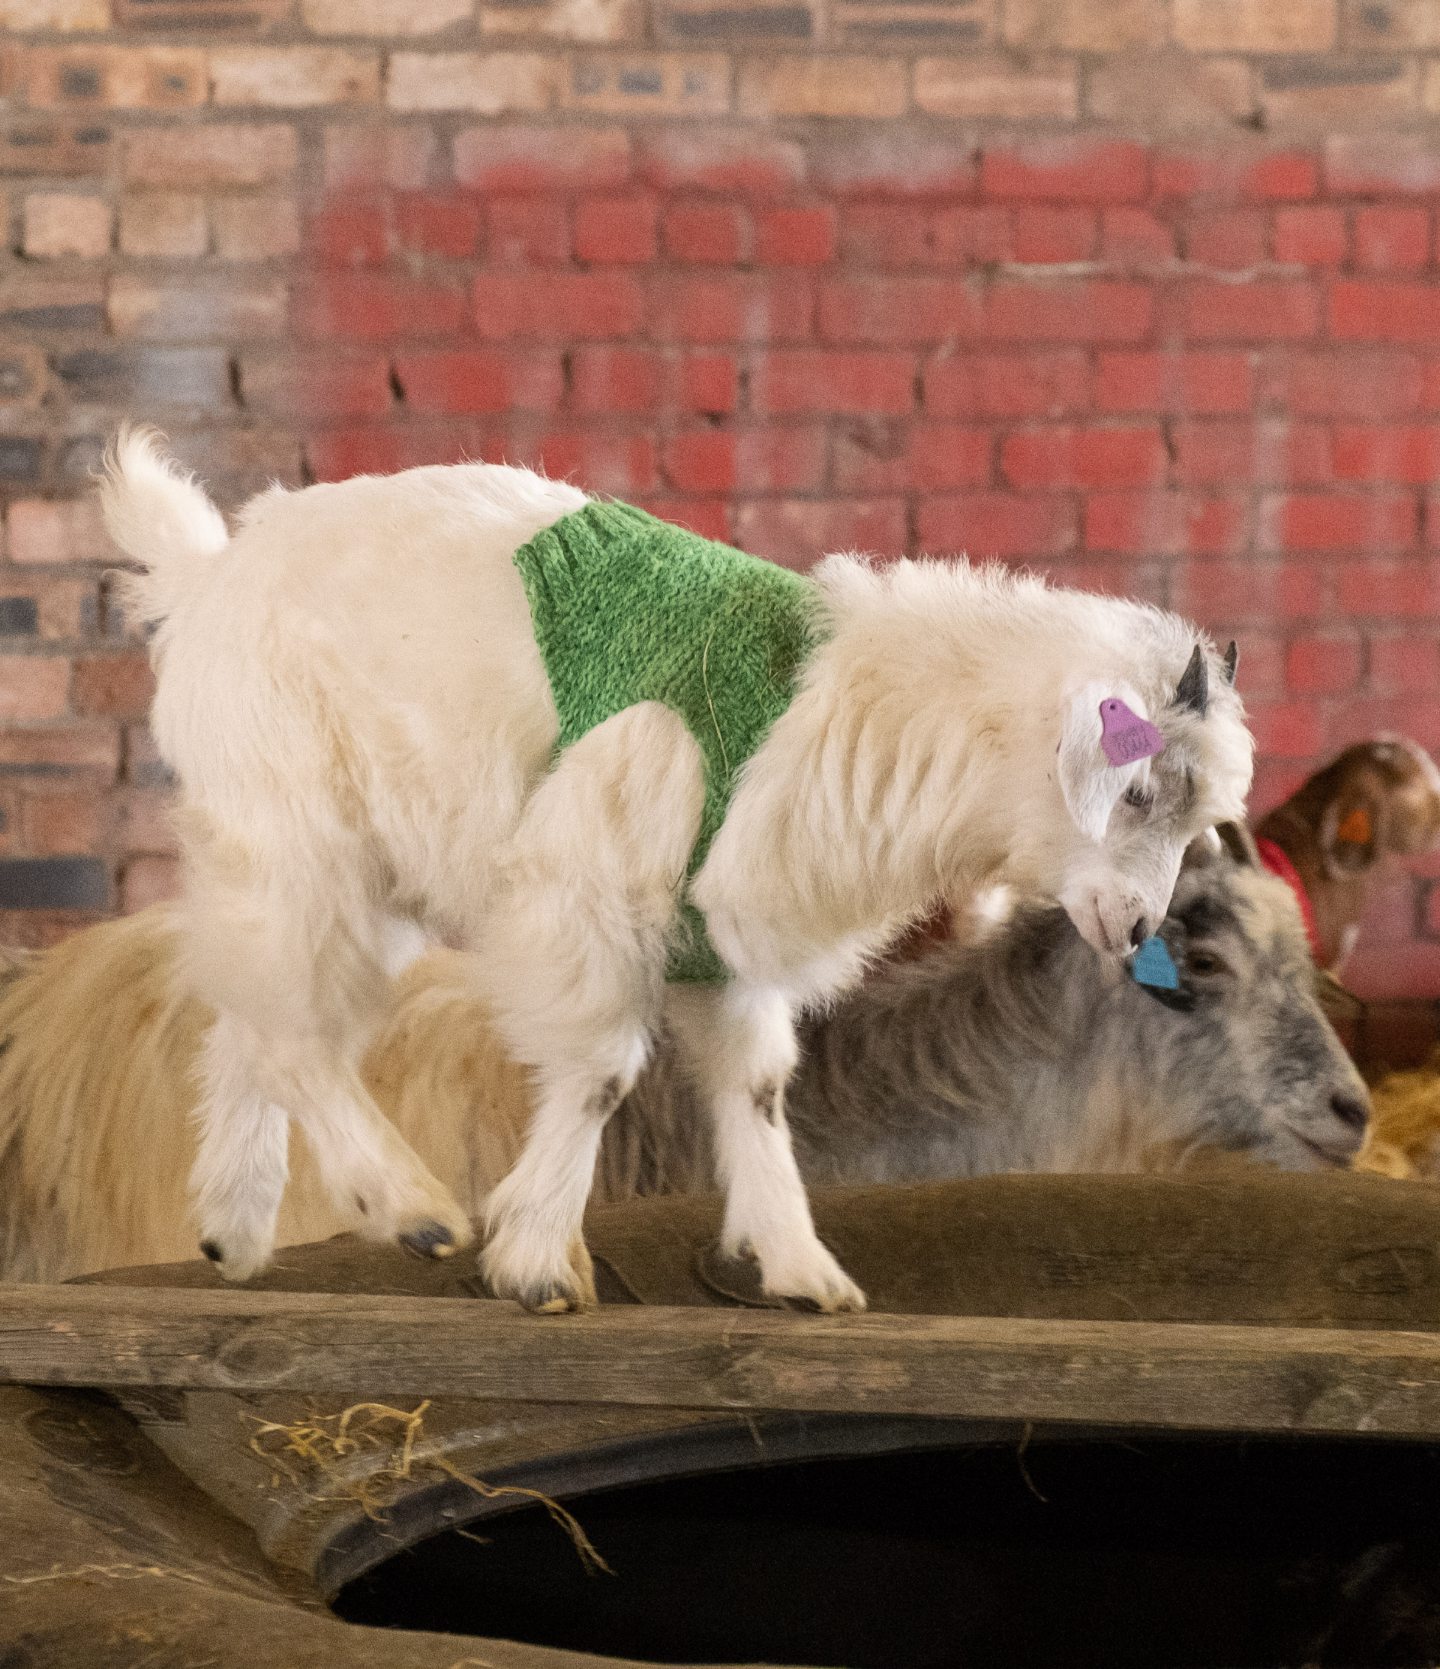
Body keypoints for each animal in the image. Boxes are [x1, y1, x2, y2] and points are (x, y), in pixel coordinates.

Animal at [100, 433, 1254, 1312]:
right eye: (1138, 793)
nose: (1136, 927)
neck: (836, 705)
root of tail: (207, 571)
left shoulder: (724, 944)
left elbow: (758, 1091)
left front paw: (802, 1269)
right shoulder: (593, 889)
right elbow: (602, 1074)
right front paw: (534, 1258)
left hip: (340, 857)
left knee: (257, 1014)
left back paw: (235, 1226)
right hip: (299, 824)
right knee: (293, 1031)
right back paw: (409, 1207)